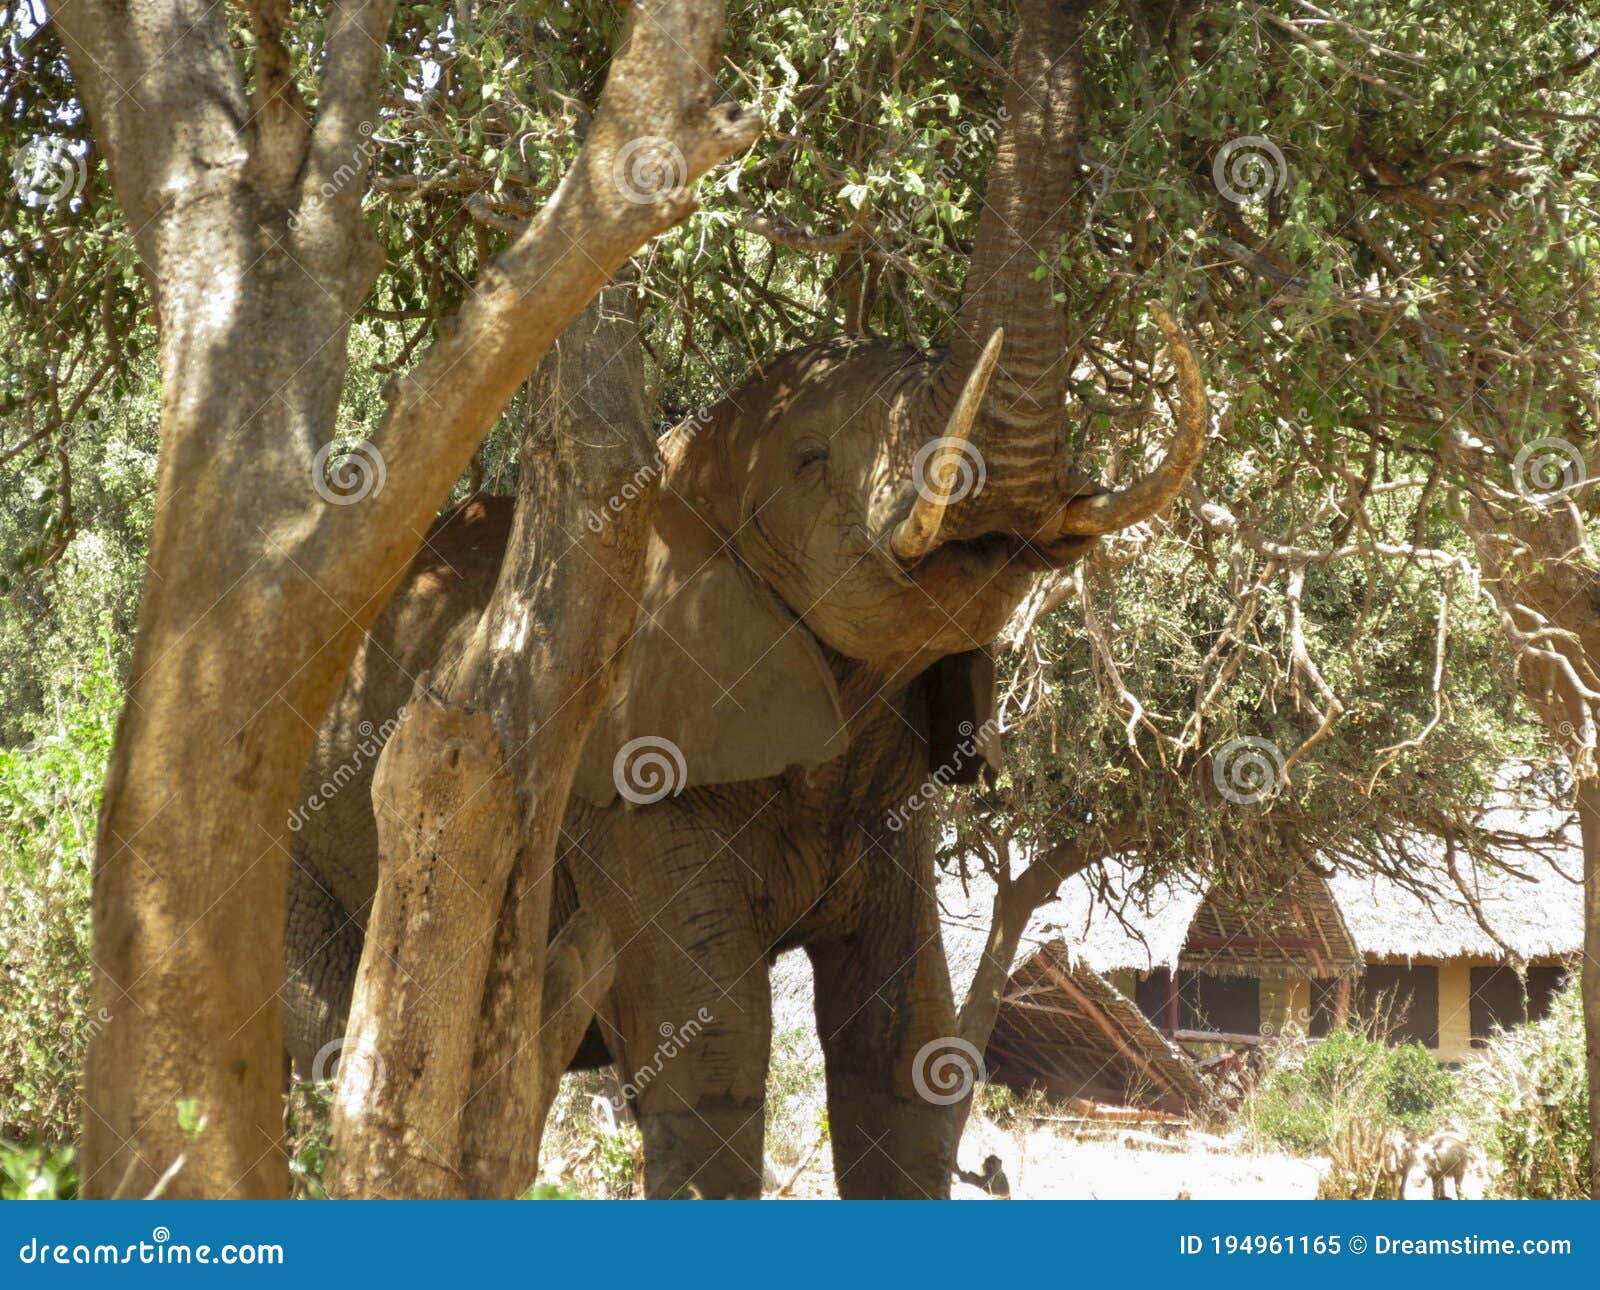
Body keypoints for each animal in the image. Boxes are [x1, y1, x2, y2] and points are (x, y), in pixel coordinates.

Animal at [283, 0, 1206, 1198]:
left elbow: (905, 1048)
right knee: (314, 1041)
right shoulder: (629, 772)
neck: (686, 466)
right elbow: (712, 1052)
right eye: (812, 463)